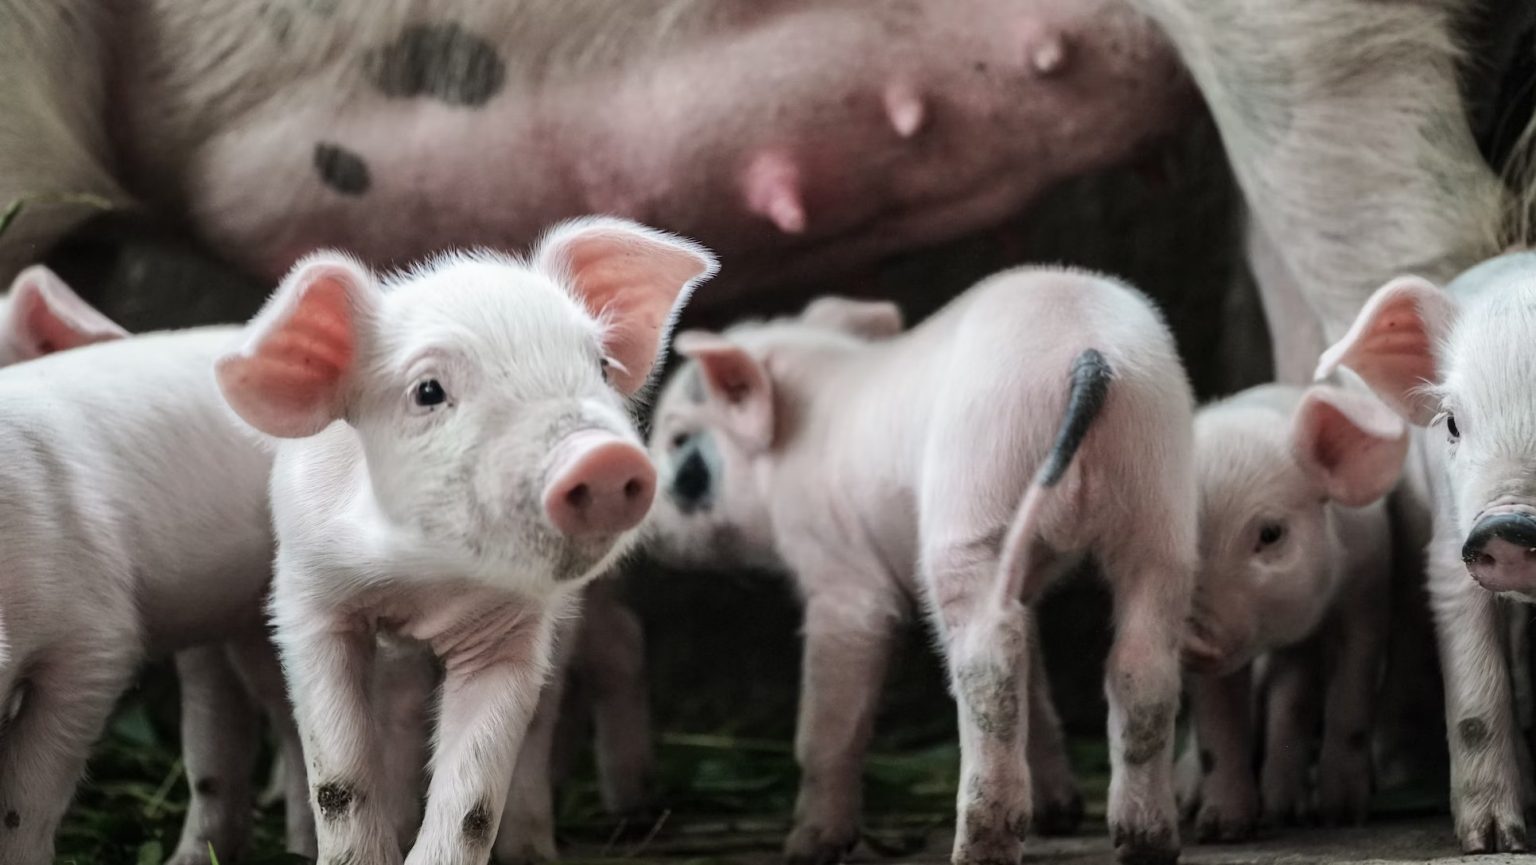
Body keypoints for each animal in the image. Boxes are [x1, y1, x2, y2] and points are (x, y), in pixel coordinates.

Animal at [213, 216, 715, 865]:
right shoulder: (309, 602)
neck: (423, 583)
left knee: (611, 651)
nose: (602, 457)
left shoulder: (512, 633)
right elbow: (339, 780)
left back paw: (605, 820)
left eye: (601, 366)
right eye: (428, 391)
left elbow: (474, 803)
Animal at [644, 272, 1197, 865]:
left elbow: (830, 720)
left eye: (679, 442)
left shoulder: (841, 574)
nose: (642, 523)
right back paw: (1145, 845)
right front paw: (1060, 816)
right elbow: (1037, 683)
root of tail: (1089, 353)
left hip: (973, 501)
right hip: (1159, 496)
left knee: (989, 667)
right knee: (1139, 665)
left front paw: (807, 848)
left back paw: (977, 851)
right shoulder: (1024, 582)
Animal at [1176, 384, 1406, 840]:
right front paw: (1223, 830)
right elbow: (1218, 725)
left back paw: (1289, 812)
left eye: (1270, 533)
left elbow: (1348, 696)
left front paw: (1340, 816)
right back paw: (1188, 801)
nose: (1192, 634)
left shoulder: (1367, 589)